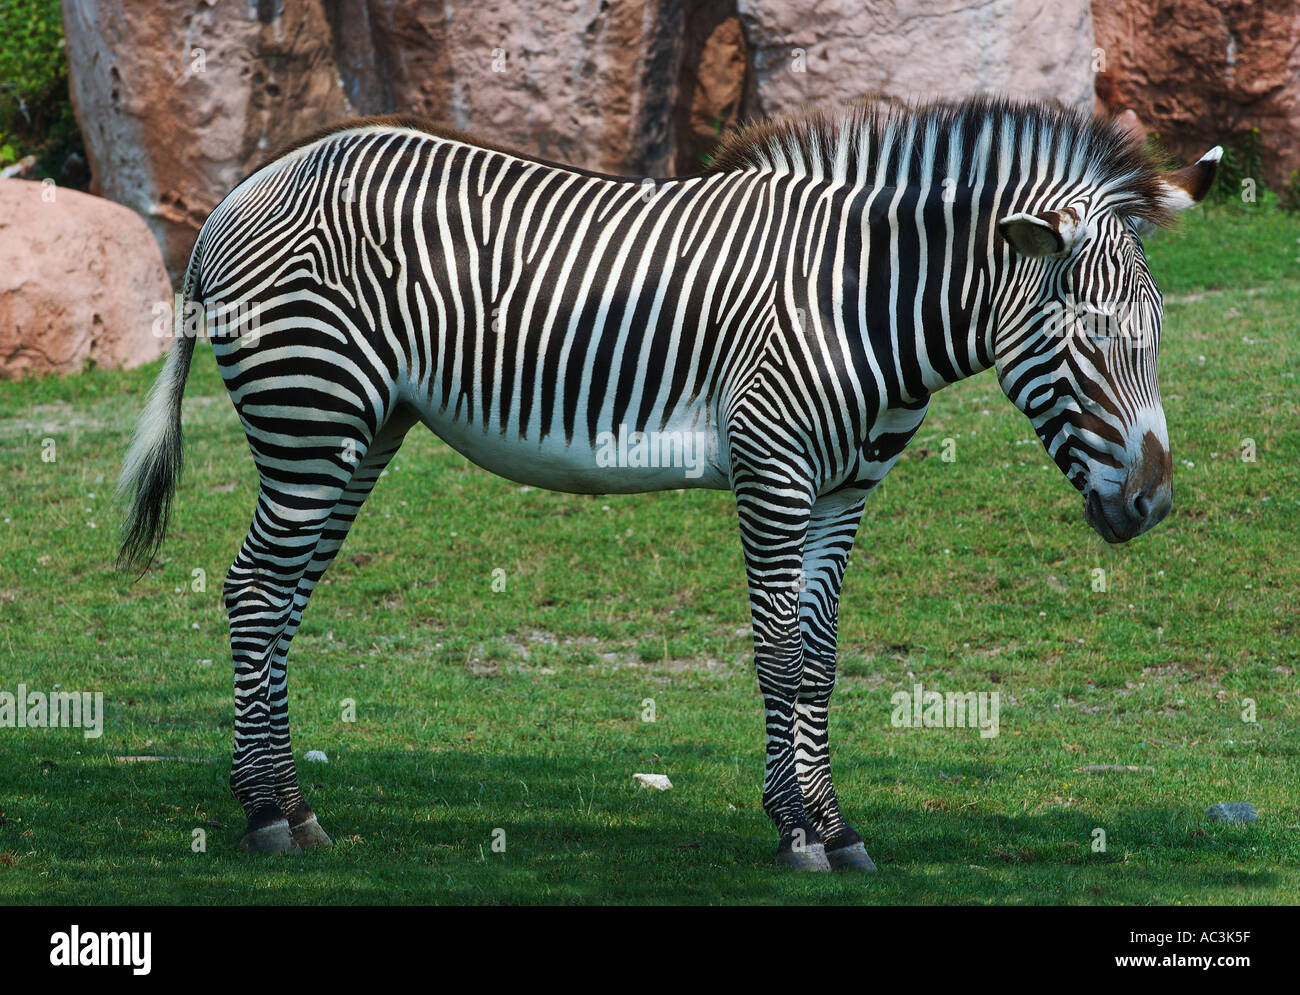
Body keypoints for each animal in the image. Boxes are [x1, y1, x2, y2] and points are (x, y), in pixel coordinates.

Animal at [118, 97, 1218, 871]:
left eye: (1158, 331)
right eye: (1084, 340)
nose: (1153, 505)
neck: (863, 303)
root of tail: (242, 192)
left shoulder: (846, 490)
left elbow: (822, 657)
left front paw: (839, 825)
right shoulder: (773, 468)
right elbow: (780, 652)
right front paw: (796, 832)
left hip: (359, 428)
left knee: (284, 594)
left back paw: (293, 804)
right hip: (312, 411)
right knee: (255, 589)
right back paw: (265, 810)